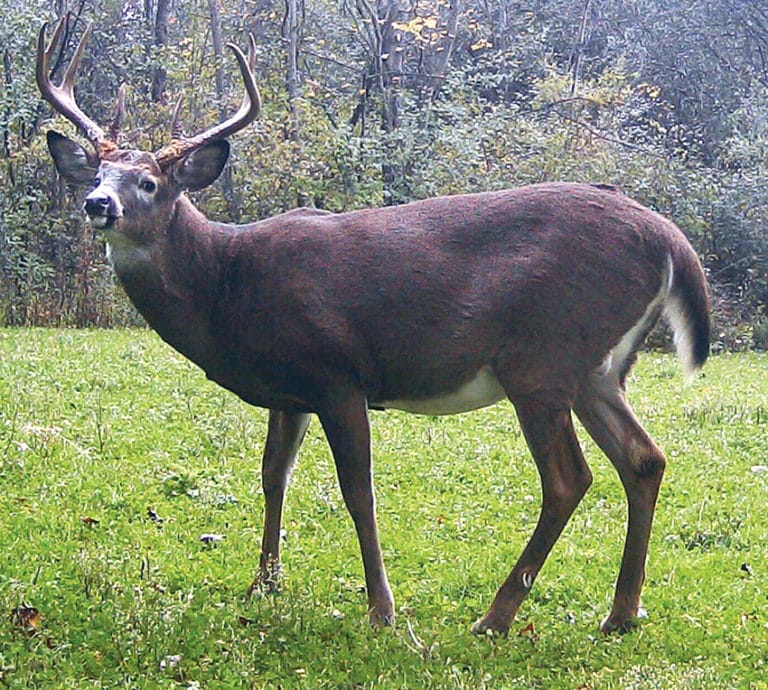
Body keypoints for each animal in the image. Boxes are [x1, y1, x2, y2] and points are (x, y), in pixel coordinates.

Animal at [37, 17, 710, 636]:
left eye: (149, 182)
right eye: (96, 174)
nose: (97, 204)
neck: (227, 284)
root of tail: (670, 239)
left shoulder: (338, 374)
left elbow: (357, 491)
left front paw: (381, 609)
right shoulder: (290, 390)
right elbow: (272, 475)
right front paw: (263, 584)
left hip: (541, 359)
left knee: (570, 479)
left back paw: (495, 617)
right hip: (596, 369)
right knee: (644, 459)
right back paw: (620, 614)